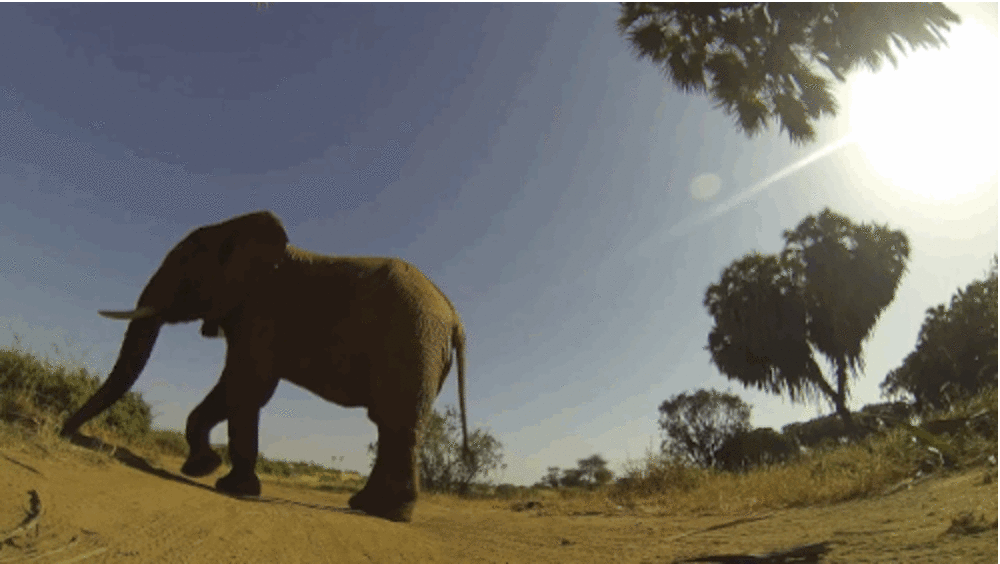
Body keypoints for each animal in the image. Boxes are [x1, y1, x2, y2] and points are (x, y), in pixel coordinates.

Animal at [60, 210, 469, 523]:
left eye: (183, 269)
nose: (66, 432)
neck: (232, 230)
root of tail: (454, 317)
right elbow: (232, 389)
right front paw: (201, 468)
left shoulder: (260, 311)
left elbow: (246, 387)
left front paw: (231, 487)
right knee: (390, 426)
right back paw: (365, 506)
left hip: (412, 343)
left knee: (396, 423)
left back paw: (391, 514)